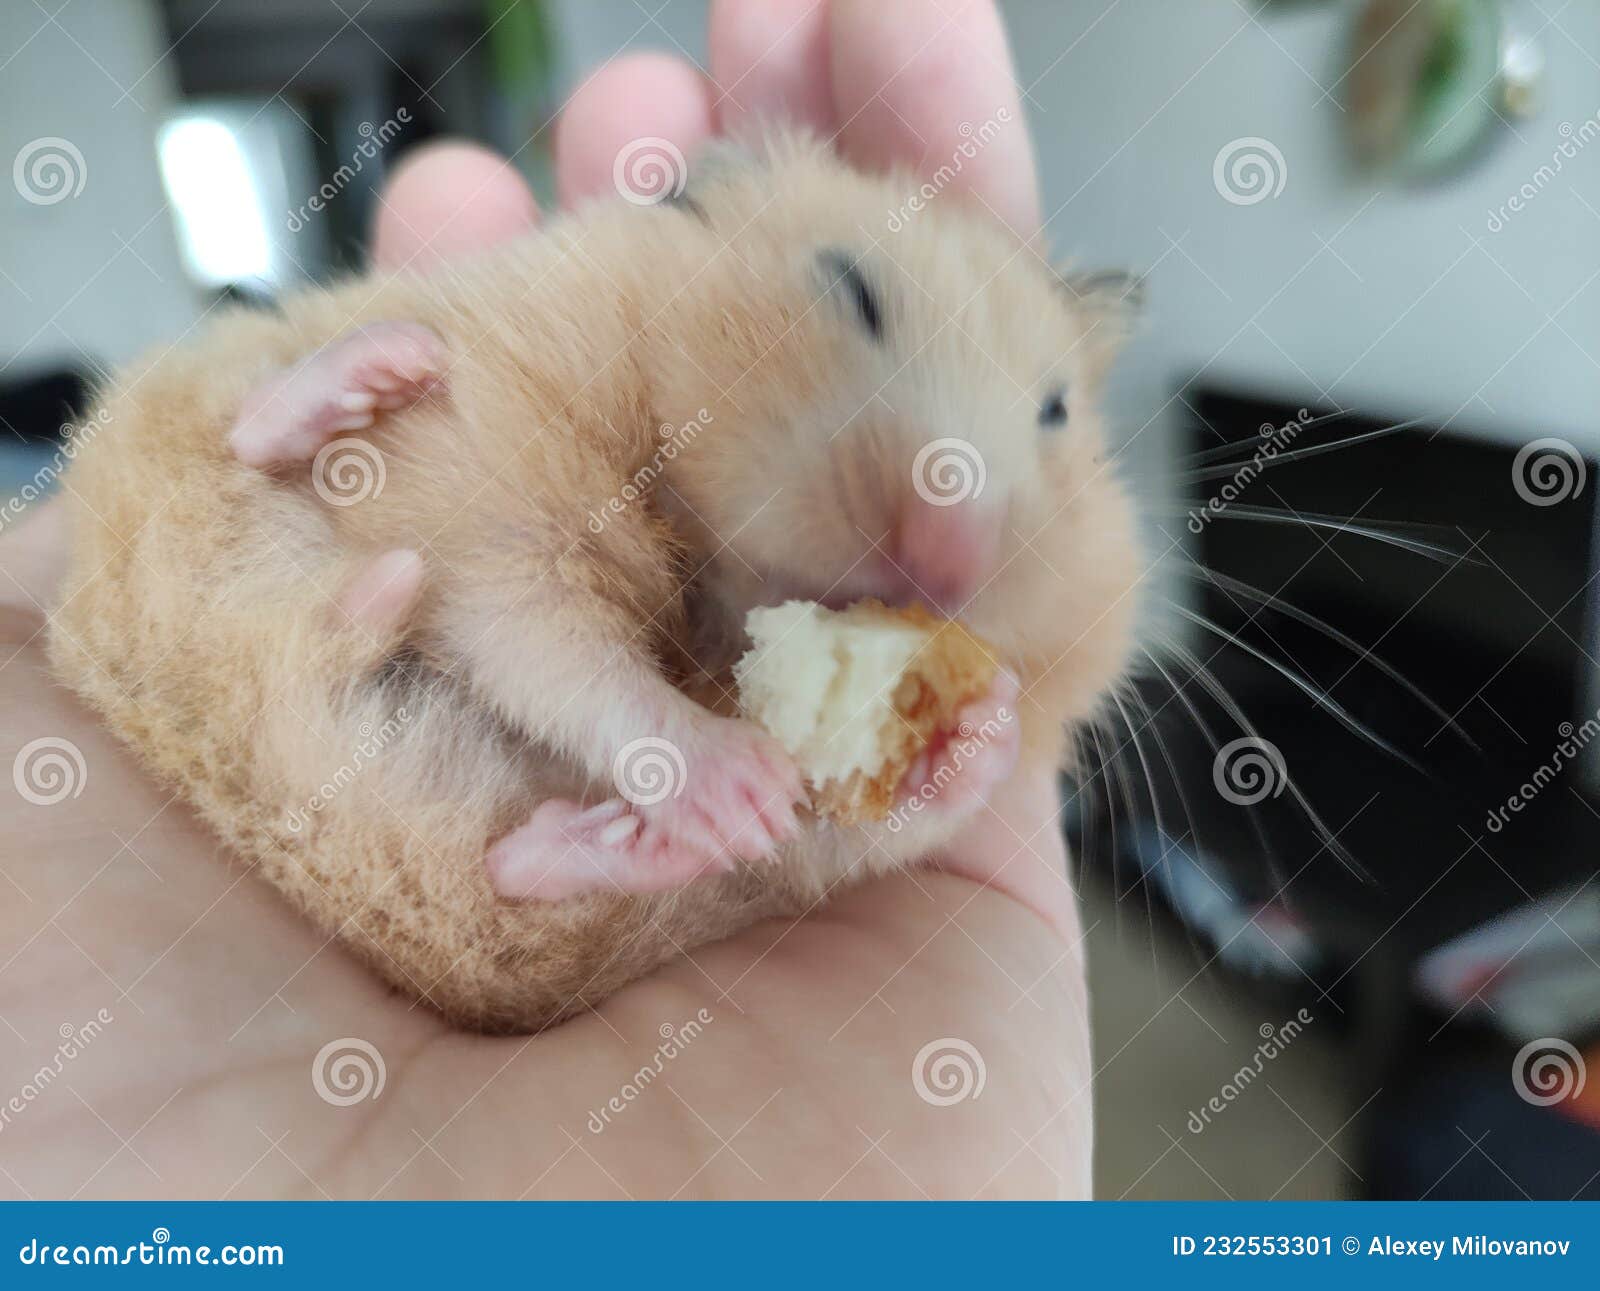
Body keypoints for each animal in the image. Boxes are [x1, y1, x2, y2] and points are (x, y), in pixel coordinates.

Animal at [46, 132, 1143, 1032]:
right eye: (849, 289)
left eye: (1056, 410)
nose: (950, 561)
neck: (707, 570)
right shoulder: (501, 517)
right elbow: (566, 655)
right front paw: (740, 784)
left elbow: (896, 811)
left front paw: (983, 720)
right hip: (161, 444)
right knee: (242, 426)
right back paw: (375, 373)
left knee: (507, 875)